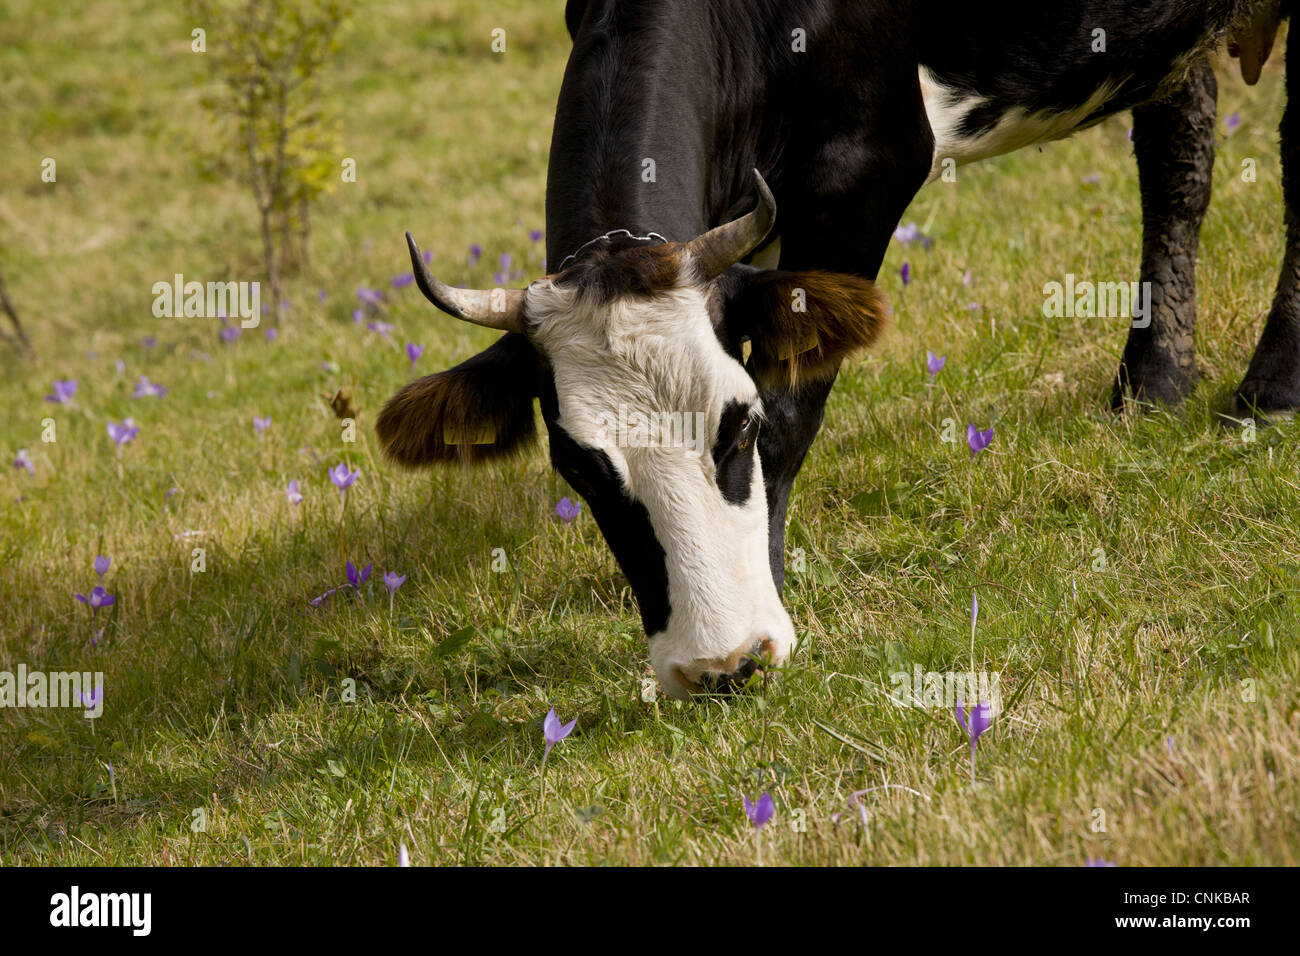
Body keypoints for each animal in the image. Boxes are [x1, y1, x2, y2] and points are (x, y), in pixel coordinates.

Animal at [378, 0, 1297, 699]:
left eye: (739, 424)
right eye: (578, 467)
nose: (717, 667)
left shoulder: (864, 167)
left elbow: (797, 415)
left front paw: (772, 607)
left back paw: (1271, 387)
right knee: (1180, 142)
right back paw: (1154, 381)